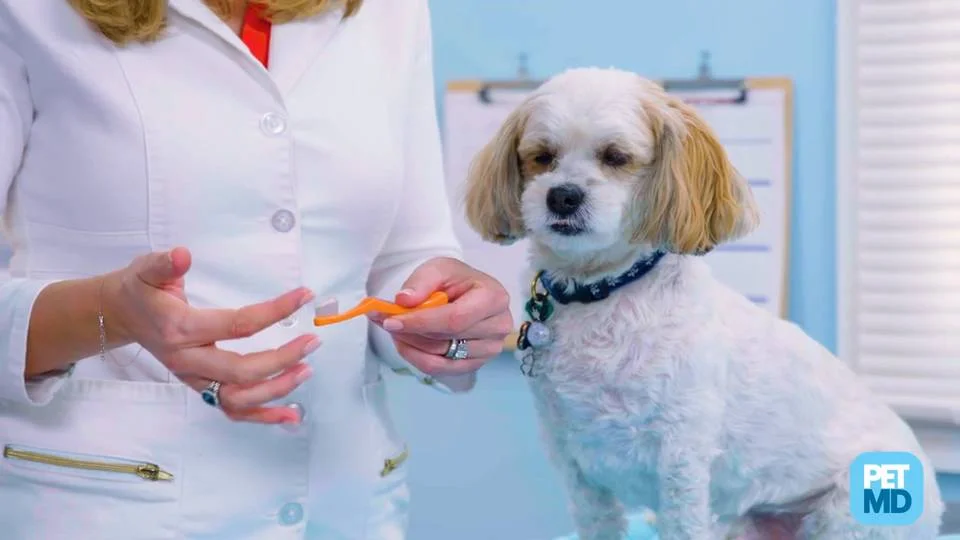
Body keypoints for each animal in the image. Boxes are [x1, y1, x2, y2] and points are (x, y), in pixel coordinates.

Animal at [462, 67, 940, 540]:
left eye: (615, 157)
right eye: (542, 156)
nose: (562, 195)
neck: (602, 293)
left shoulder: (682, 458)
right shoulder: (575, 465)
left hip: (850, 514)